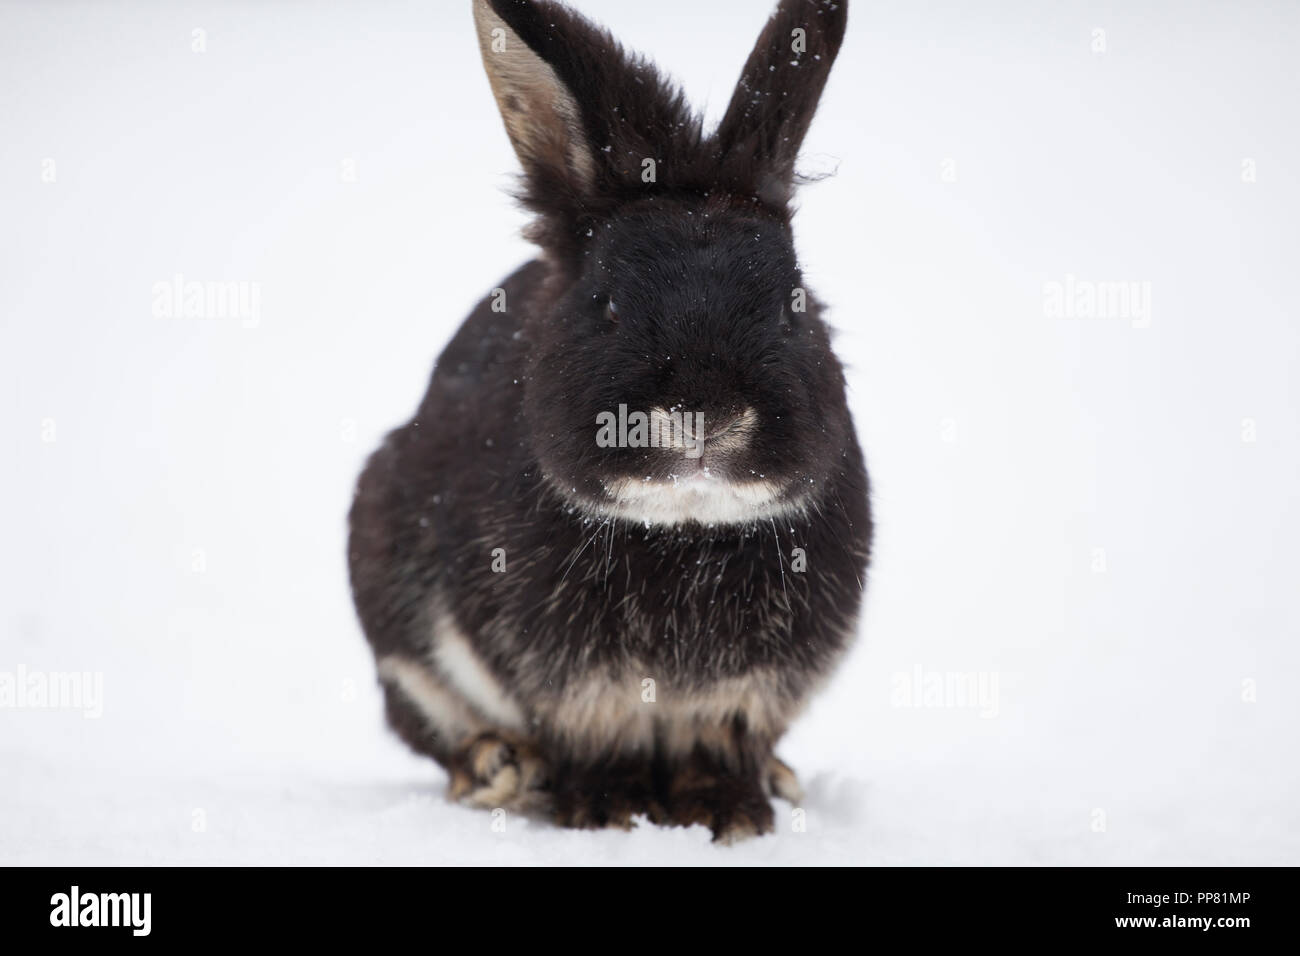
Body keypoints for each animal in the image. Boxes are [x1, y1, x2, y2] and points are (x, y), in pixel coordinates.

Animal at [348, 0, 870, 843]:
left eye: (794, 307)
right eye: (612, 308)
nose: (701, 415)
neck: (686, 526)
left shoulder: (746, 695)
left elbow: (718, 743)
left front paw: (729, 814)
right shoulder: (577, 687)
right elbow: (598, 737)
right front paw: (609, 809)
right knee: (428, 726)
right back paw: (499, 769)